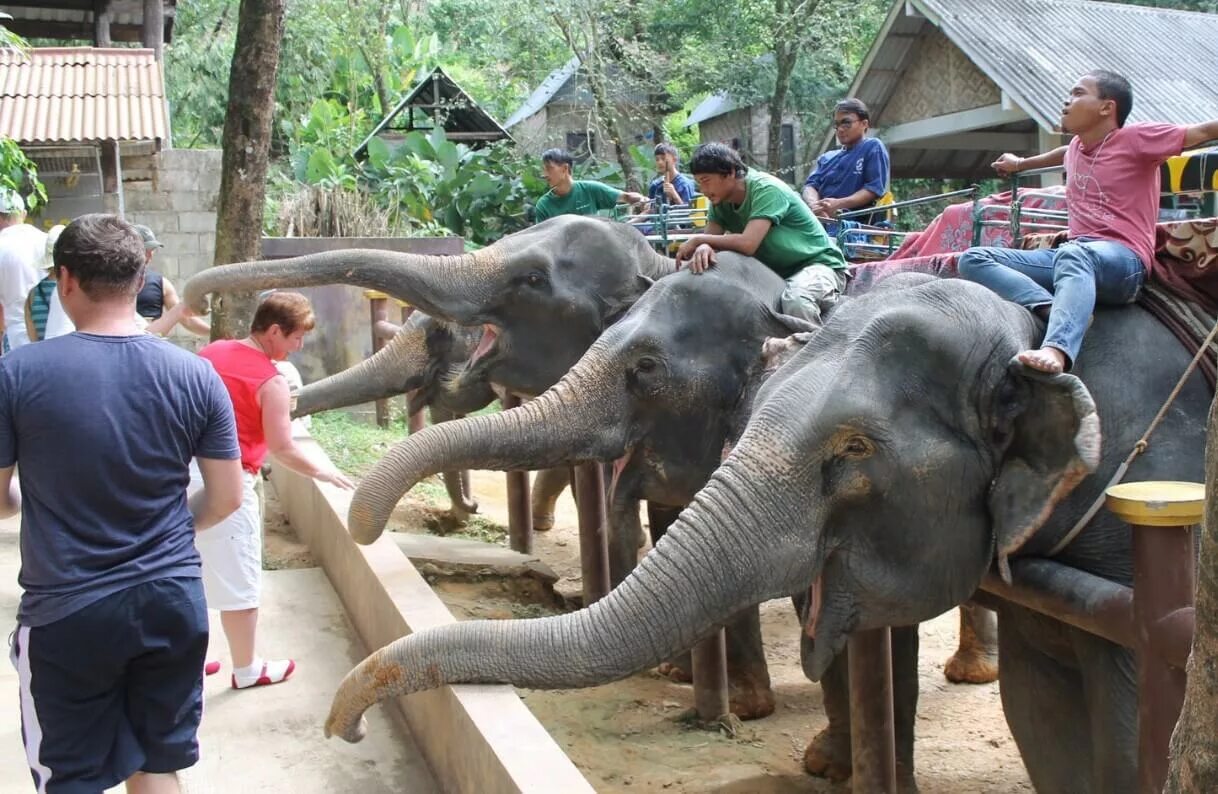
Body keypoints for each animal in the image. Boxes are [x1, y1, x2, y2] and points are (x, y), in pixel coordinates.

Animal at [321, 274, 1208, 794]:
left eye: (853, 450)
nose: (343, 726)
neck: (1030, 335)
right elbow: (1037, 713)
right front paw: (814, 755)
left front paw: (766, 724)